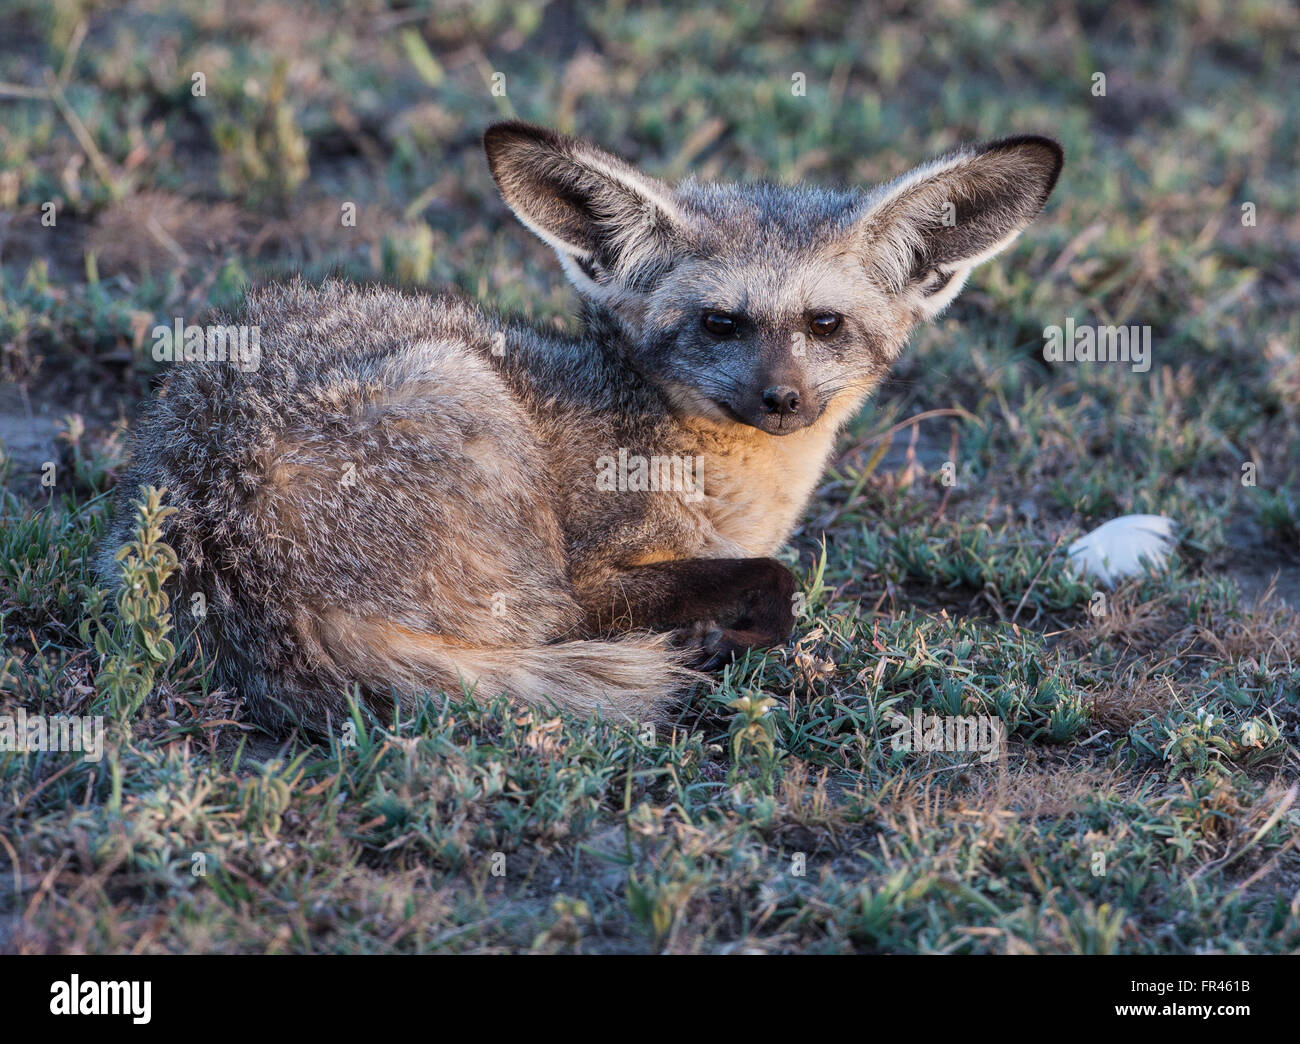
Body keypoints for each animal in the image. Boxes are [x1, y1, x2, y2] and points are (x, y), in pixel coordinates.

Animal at [99, 122, 1063, 733]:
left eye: (824, 325)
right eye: (721, 324)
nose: (782, 400)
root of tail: (243, 569)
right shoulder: (601, 561)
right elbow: (765, 578)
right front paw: (726, 621)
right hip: (474, 409)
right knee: (572, 624)